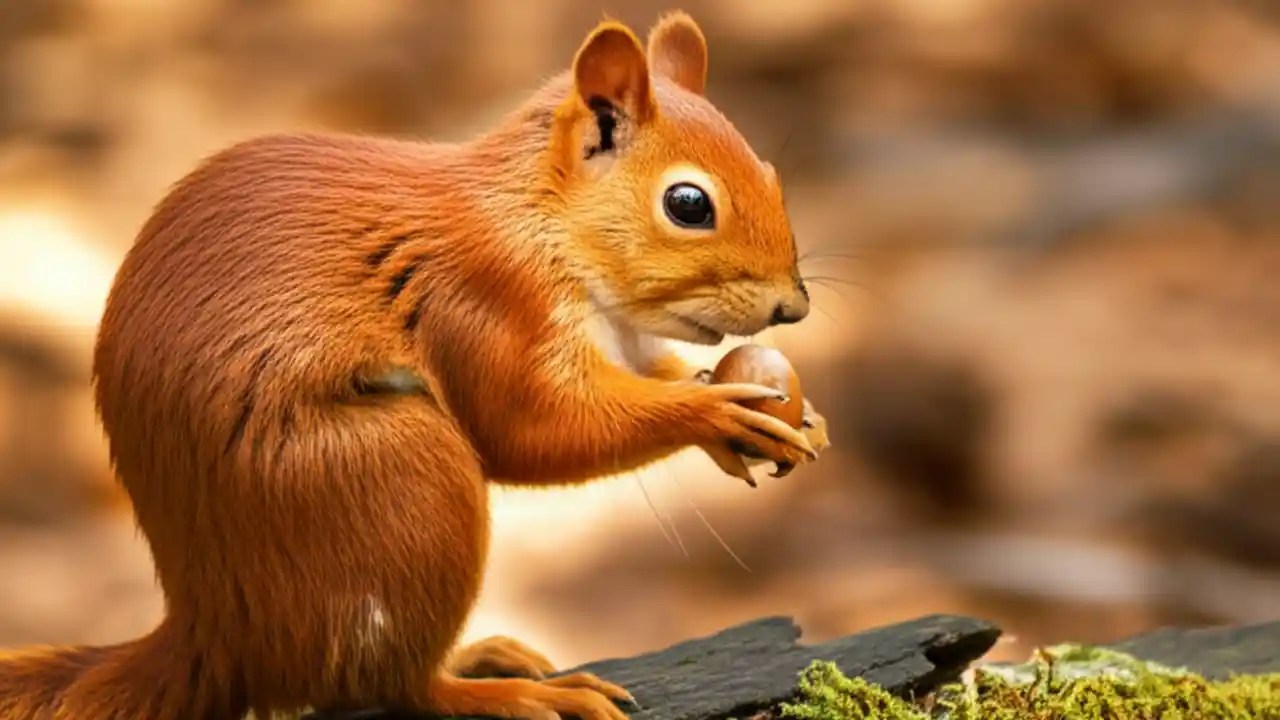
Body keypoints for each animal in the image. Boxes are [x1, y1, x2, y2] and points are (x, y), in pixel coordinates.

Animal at [0, 11, 822, 720]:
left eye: (771, 172)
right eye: (688, 204)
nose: (795, 307)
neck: (539, 220)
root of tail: (218, 632)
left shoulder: (627, 342)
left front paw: (789, 420)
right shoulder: (486, 302)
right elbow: (530, 431)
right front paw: (714, 412)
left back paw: (485, 657)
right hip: (396, 479)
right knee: (386, 687)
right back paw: (496, 692)